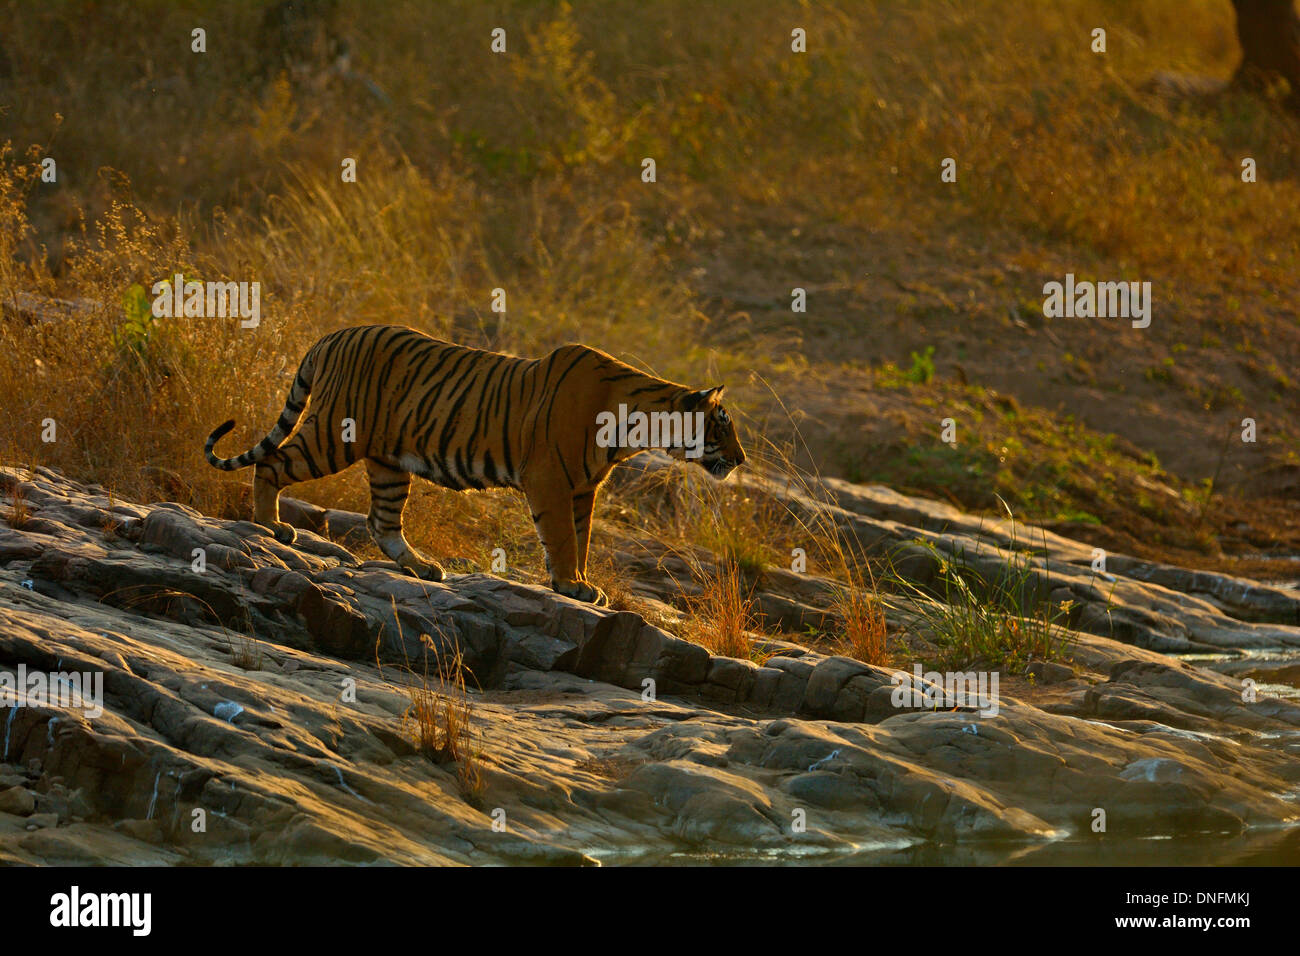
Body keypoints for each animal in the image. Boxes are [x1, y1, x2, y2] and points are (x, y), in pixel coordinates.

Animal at [204, 324, 746, 605]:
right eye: (721, 427)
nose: (740, 460)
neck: (637, 429)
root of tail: (332, 335)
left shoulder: (582, 489)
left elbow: (582, 537)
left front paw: (580, 583)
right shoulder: (550, 480)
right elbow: (562, 539)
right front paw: (571, 585)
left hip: (387, 462)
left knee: (382, 521)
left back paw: (422, 568)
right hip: (333, 435)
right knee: (272, 464)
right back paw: (272, 526)